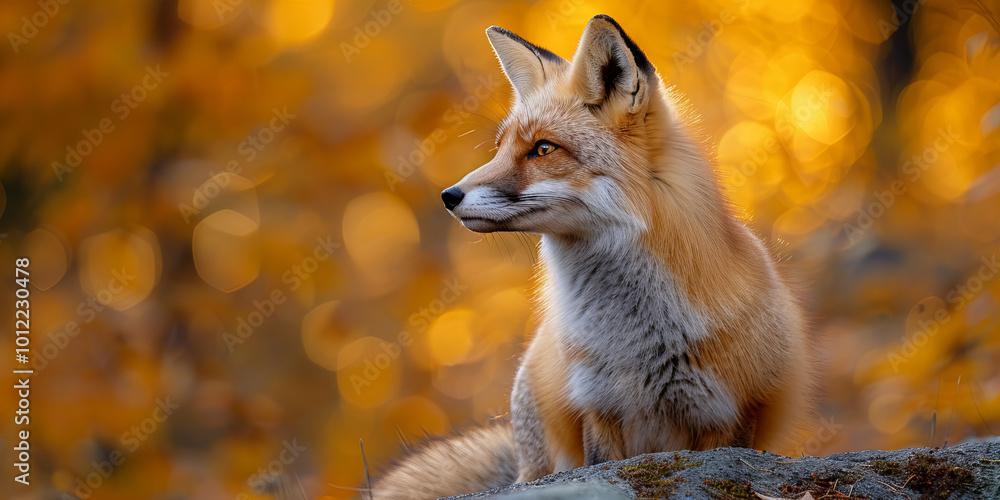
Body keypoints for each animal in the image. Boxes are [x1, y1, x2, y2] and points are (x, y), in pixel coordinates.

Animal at [372, 14, 817, 499]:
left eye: (543, 149)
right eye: (501, 148)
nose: (448, 197)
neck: (639, 337)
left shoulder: (730, 416)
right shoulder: (598, 406)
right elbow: (600, 463)